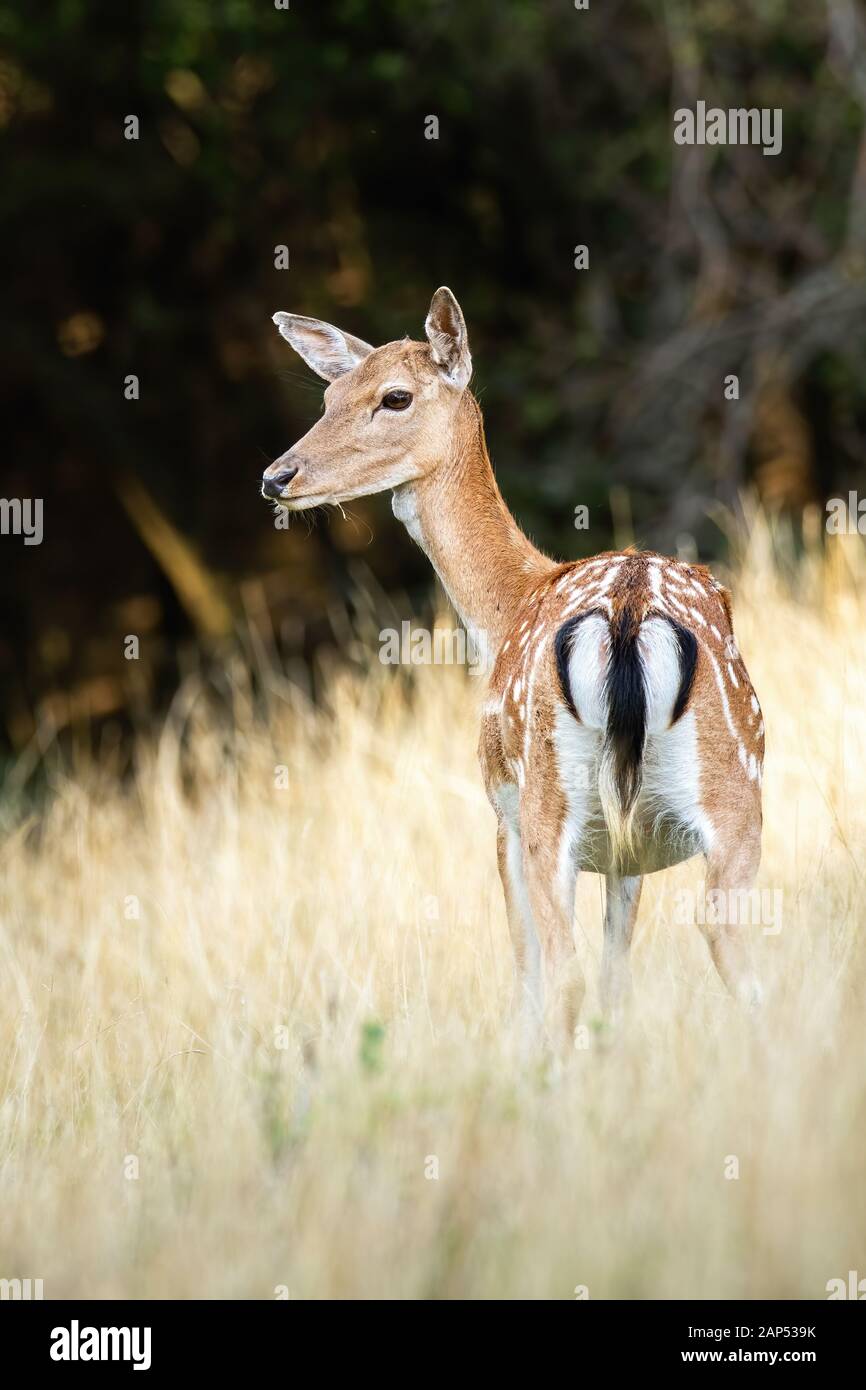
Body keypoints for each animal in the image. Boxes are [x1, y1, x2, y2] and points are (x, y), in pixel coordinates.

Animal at [261, 287, 765, 1051]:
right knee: (738, 956)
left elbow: (527, 971)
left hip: (547, 803)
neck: (506, 605)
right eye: (329, 395)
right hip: (736, 792)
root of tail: (628, 613)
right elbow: (618, 974)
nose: (276, 477)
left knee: (562, 971)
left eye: (395, 396)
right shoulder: (628, 854)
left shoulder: (499, 811)